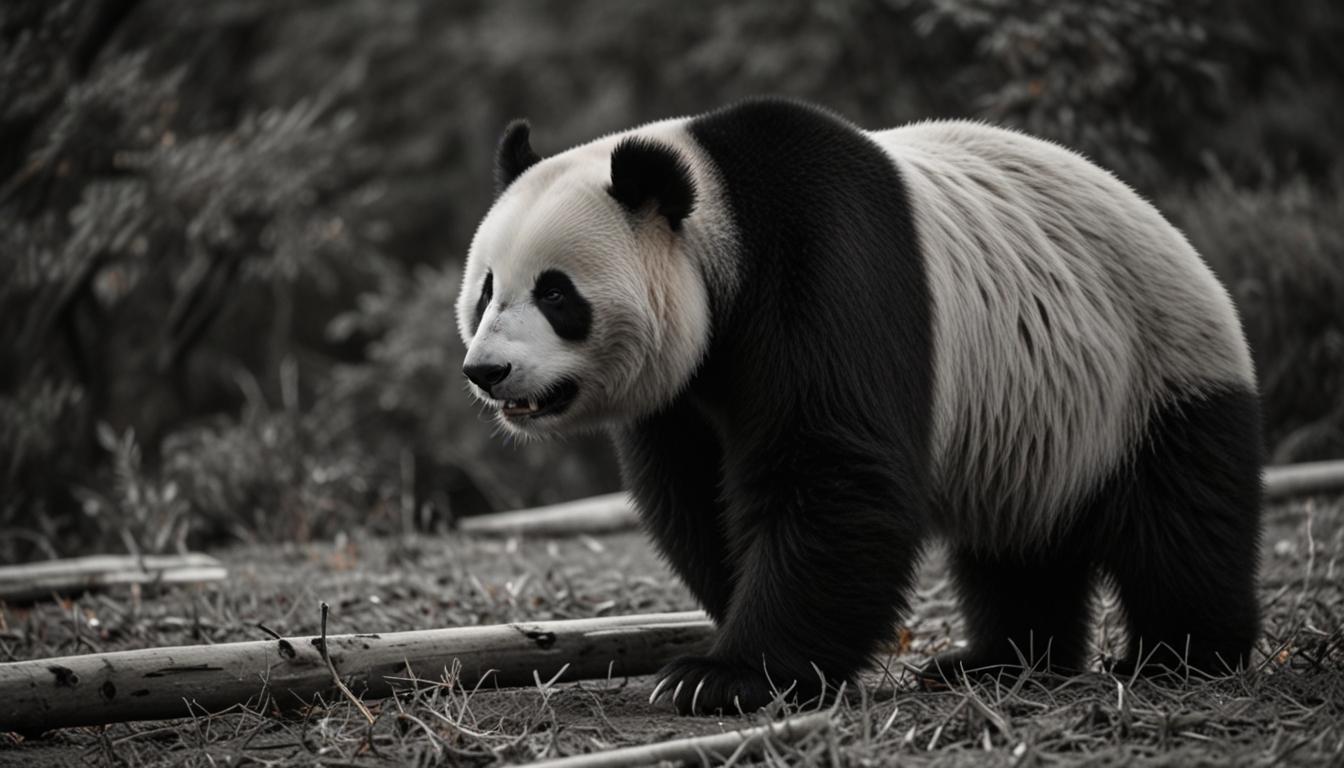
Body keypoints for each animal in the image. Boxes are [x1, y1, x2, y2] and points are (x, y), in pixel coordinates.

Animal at [456, 98, 1262, 715]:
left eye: (556, 293)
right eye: (487, 289)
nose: (487, 371)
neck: (723, 217)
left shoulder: (828, 263)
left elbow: (831, 470)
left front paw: (725, 677)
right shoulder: (685, 389)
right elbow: (696, 496)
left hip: (1151, 368)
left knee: (1180, 518)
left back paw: (1180, 655)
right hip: (1032, 418)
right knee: (1018, 547)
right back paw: (1000, 661)